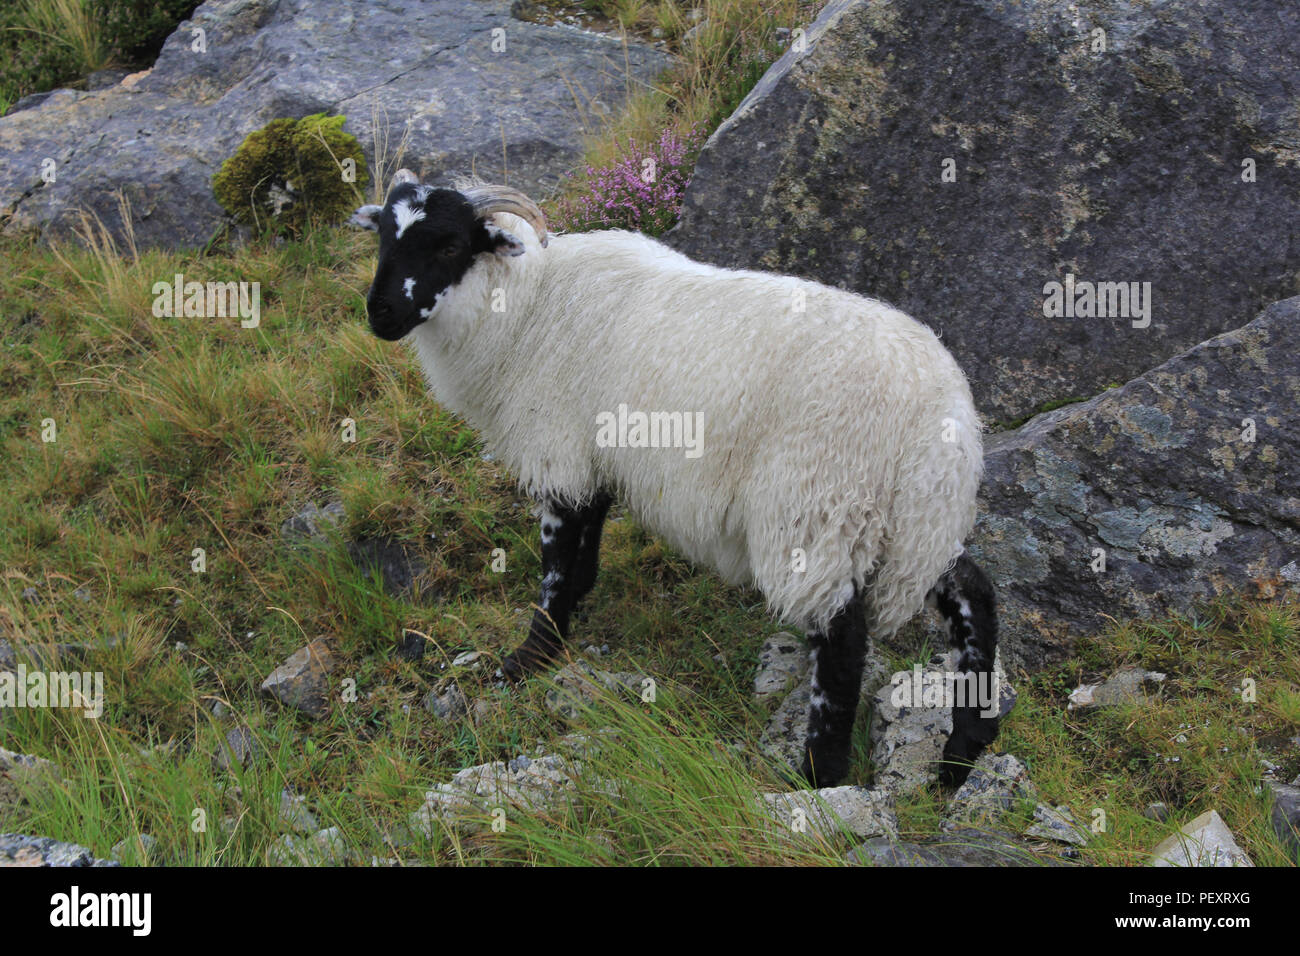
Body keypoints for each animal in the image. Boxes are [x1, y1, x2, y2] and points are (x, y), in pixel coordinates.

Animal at [350, 171, 1000, 787]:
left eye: (449, 243)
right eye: (383, 237)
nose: (380, 313)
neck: (525, 308)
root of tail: (940, 413)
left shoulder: (558, 450)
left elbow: (555, 564)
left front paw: (533, 654)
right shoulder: (596, 454)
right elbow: (588, 536)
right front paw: (576, 603)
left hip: (818, 507)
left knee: (841, 641)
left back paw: (817, 776)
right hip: (910, 521)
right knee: (971, 589)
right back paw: (964, 750)